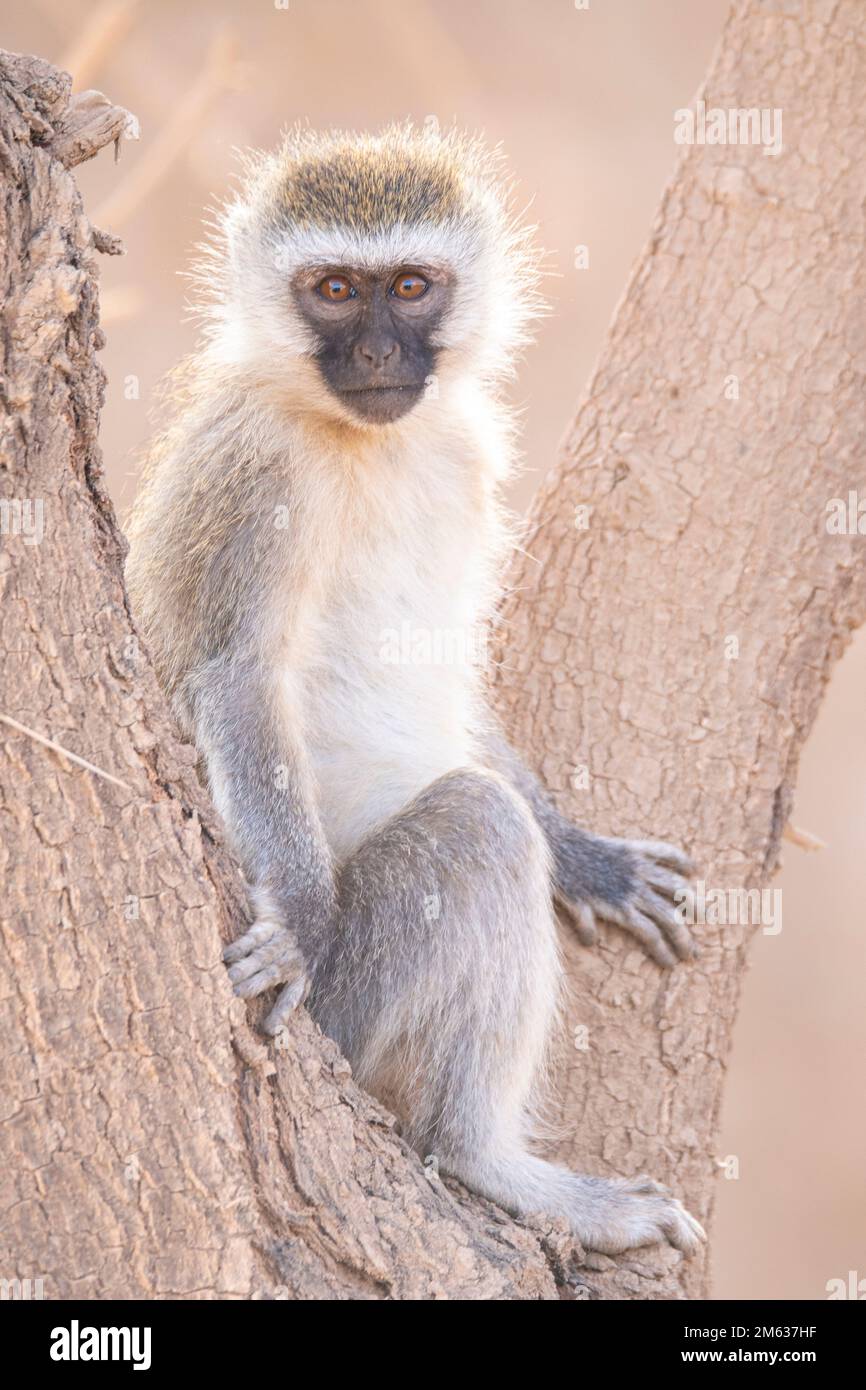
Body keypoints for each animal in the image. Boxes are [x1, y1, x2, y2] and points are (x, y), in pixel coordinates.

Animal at [126, 125, 705, 1258]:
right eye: (333, 290)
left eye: (408, 286)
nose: (379, 358)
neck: (367, 438)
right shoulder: (256, 469)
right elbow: (238, 676)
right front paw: (303, 926)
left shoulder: (464, 451)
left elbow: (458, 672)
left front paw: (586, 859)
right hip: (352, 1011)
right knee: (477, 826)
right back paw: (486, 1159)